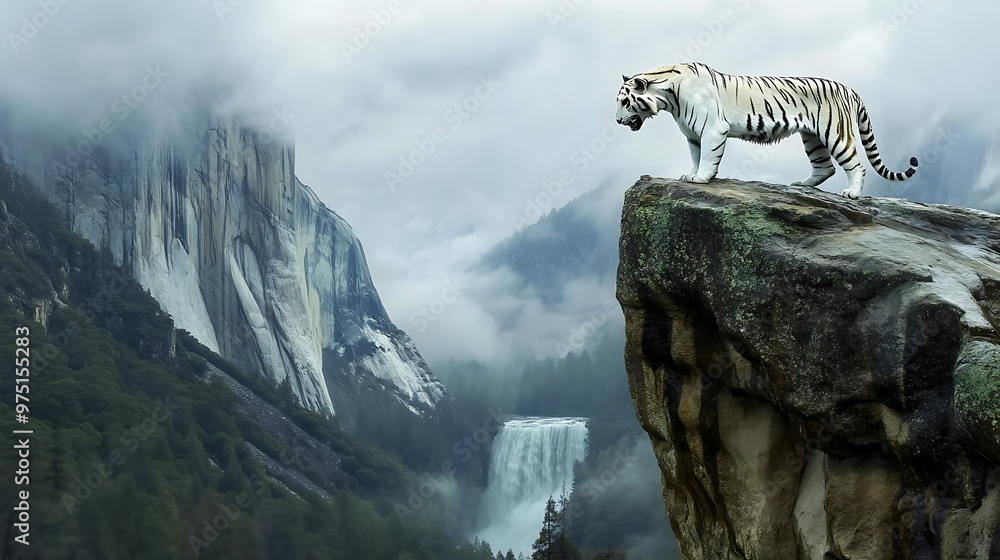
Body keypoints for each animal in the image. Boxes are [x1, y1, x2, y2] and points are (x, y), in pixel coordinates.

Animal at [615, 62, 918, 199]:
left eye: (624, 102)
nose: (617, 121)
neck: (669, 97)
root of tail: (850, 88)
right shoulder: (692, 134)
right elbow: (695, 155)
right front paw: (691, 174)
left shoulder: (712, 128)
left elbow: (708, 157)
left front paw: (701, 178)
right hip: (812, 138)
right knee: (825, 167)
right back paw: (801, 185)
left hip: (834, 132)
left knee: (855, 164)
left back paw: (852, 193)